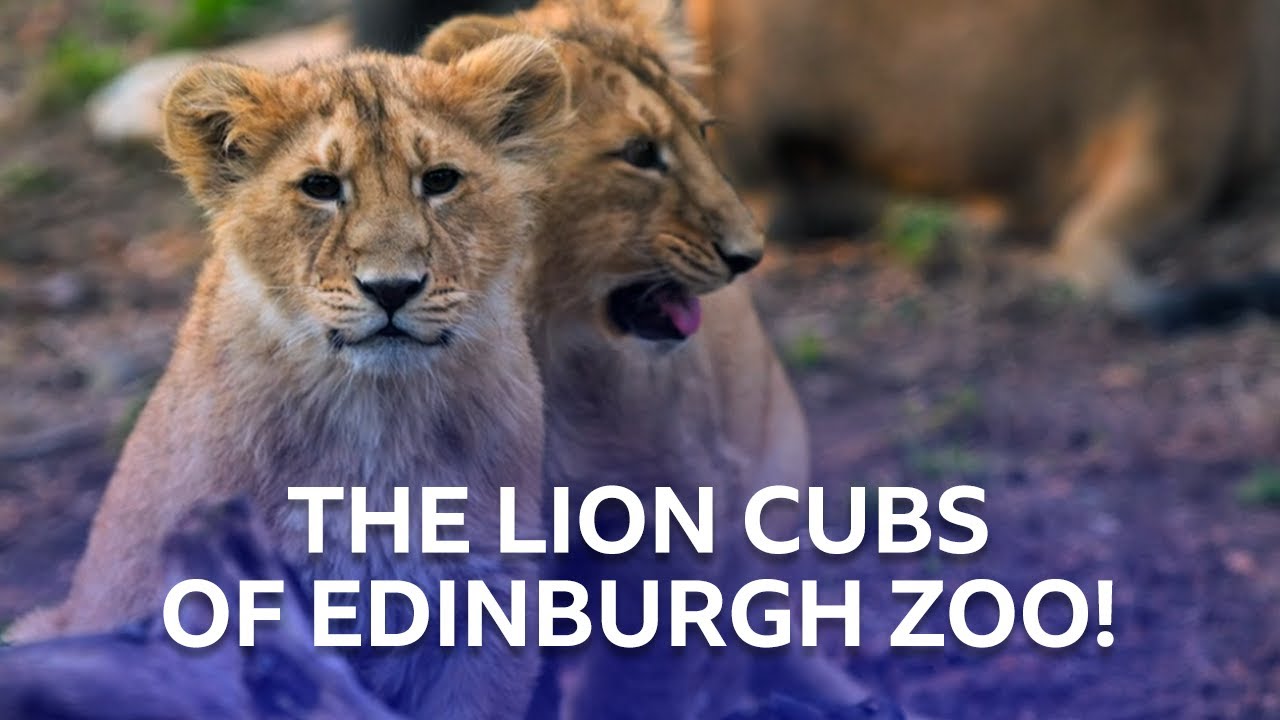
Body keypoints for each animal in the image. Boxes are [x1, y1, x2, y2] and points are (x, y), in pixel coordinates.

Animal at [424, 2, 879, 718]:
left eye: (703, 133)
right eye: (640, 154)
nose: (750, 255)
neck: (544, 350)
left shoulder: (672, 515)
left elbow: (633, 681)